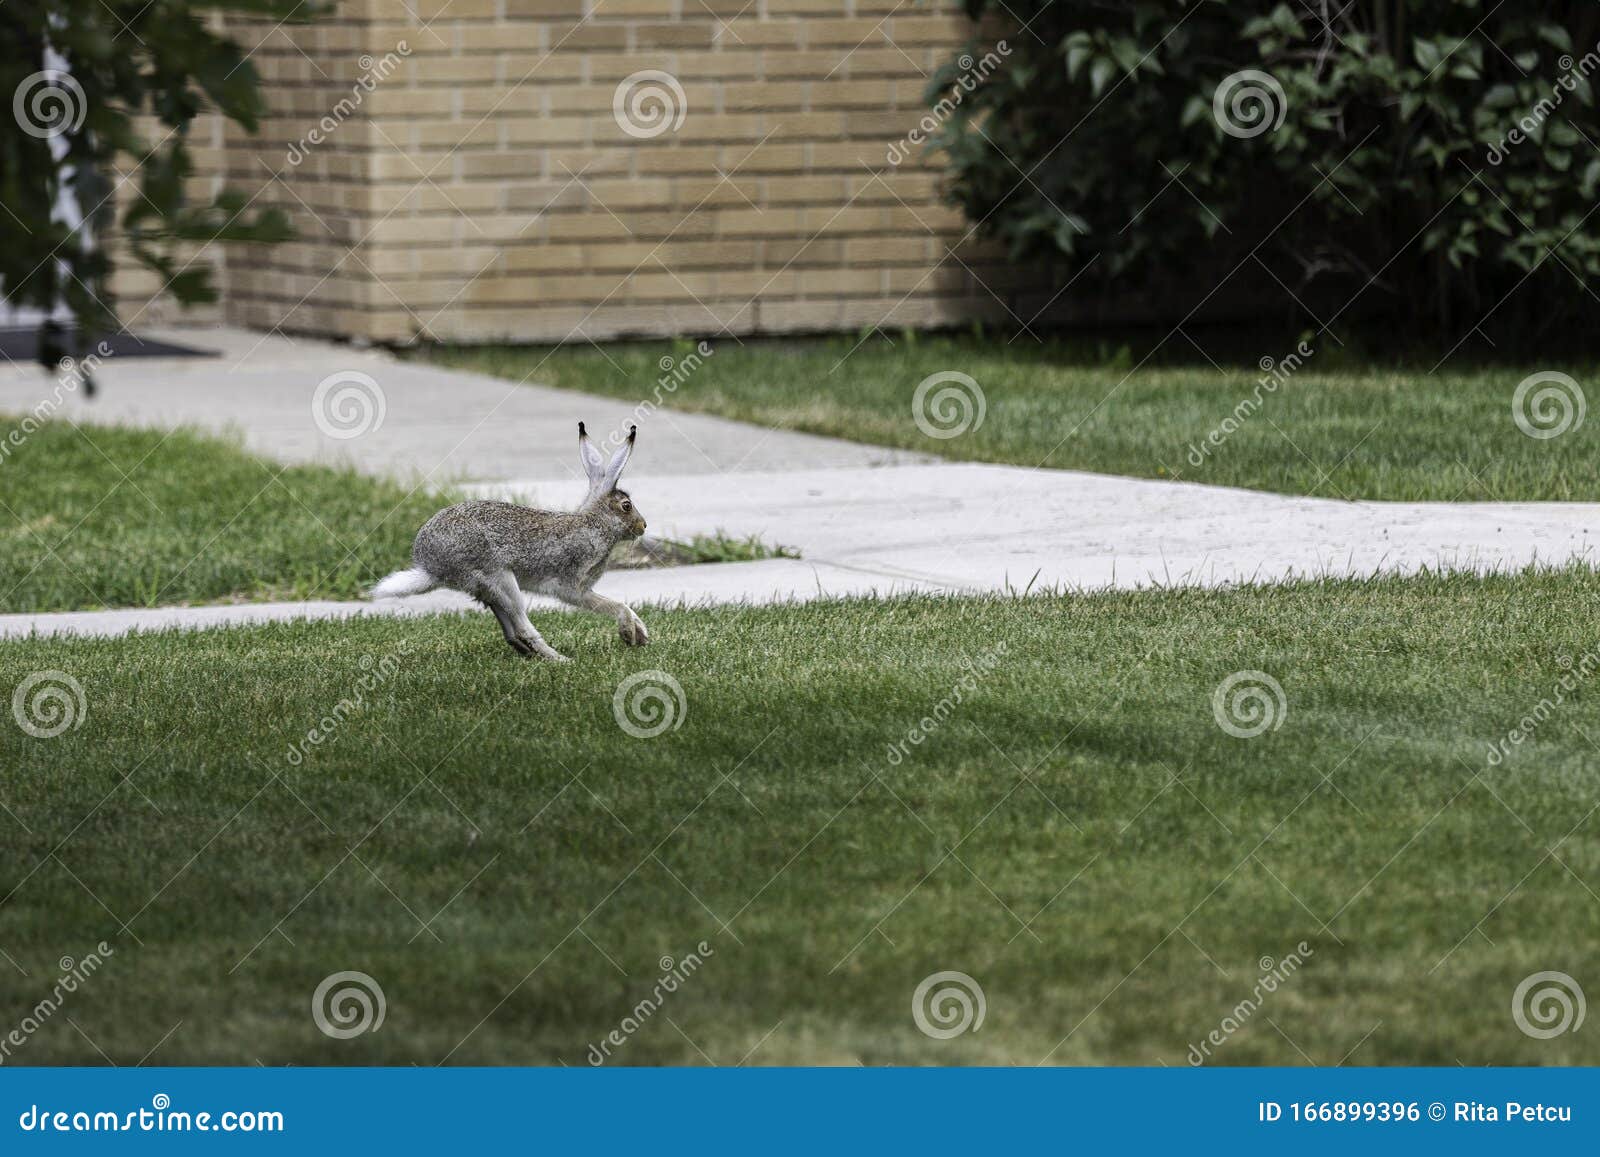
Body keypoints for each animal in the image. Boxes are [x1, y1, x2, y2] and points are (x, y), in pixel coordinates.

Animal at [370, 422, 649, 661]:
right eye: (626, 506)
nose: (643, 526)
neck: (596, 524)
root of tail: (432, 567)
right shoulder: (574, 587)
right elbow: (616, 605)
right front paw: (631, 633)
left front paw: (640, 634)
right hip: (499, 577)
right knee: (522, 627)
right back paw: (560, 659)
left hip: (491, 587)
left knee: (511, 632)